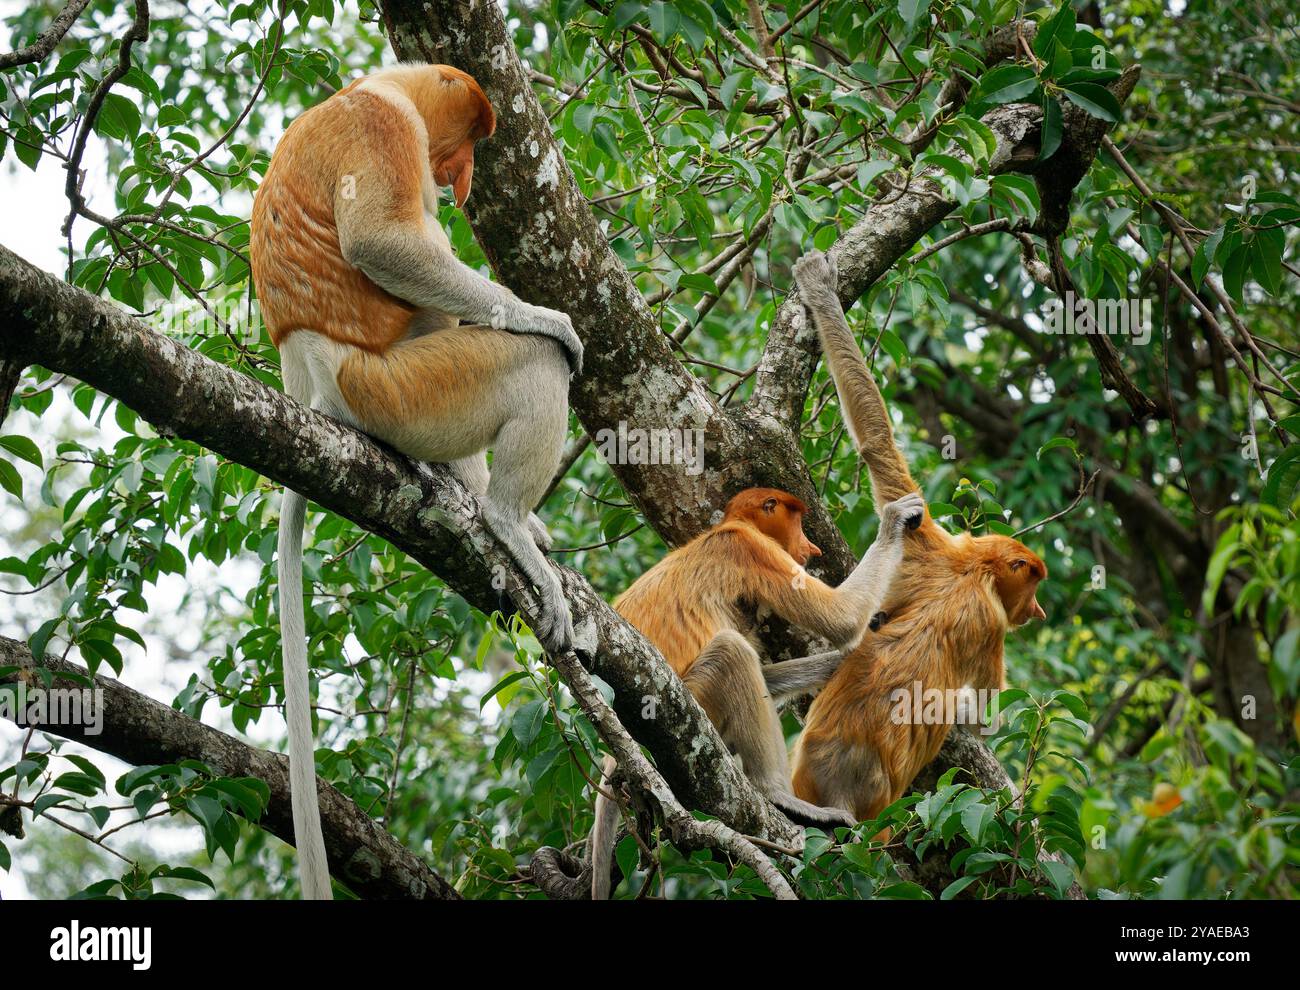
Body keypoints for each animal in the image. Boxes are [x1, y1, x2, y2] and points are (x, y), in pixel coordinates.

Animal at [249, 64, 581, 899]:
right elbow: (380, 241)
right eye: (463, 137)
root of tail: (310, 384)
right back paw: (505, 520)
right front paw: (546, 317)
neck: (374, 88)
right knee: (525, 364)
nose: (457, 179)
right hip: (396, 390)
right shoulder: (383, 129)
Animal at [588, 485, 925, 897]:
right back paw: (781, 797)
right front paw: (895, 519)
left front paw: (842, 662)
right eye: (797, 521)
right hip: (686, 706)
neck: (732, 526)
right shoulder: (755, 551)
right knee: (732, 654)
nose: (811, 548)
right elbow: (840, 619)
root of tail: (613, 753)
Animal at [789, 249, 1047, 824]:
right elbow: (987, 714)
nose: (1037, 612)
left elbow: (877, 445)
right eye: (1034, 584)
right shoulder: (993, 625)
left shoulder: (929, 540)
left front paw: (820, 291)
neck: (976, 571)